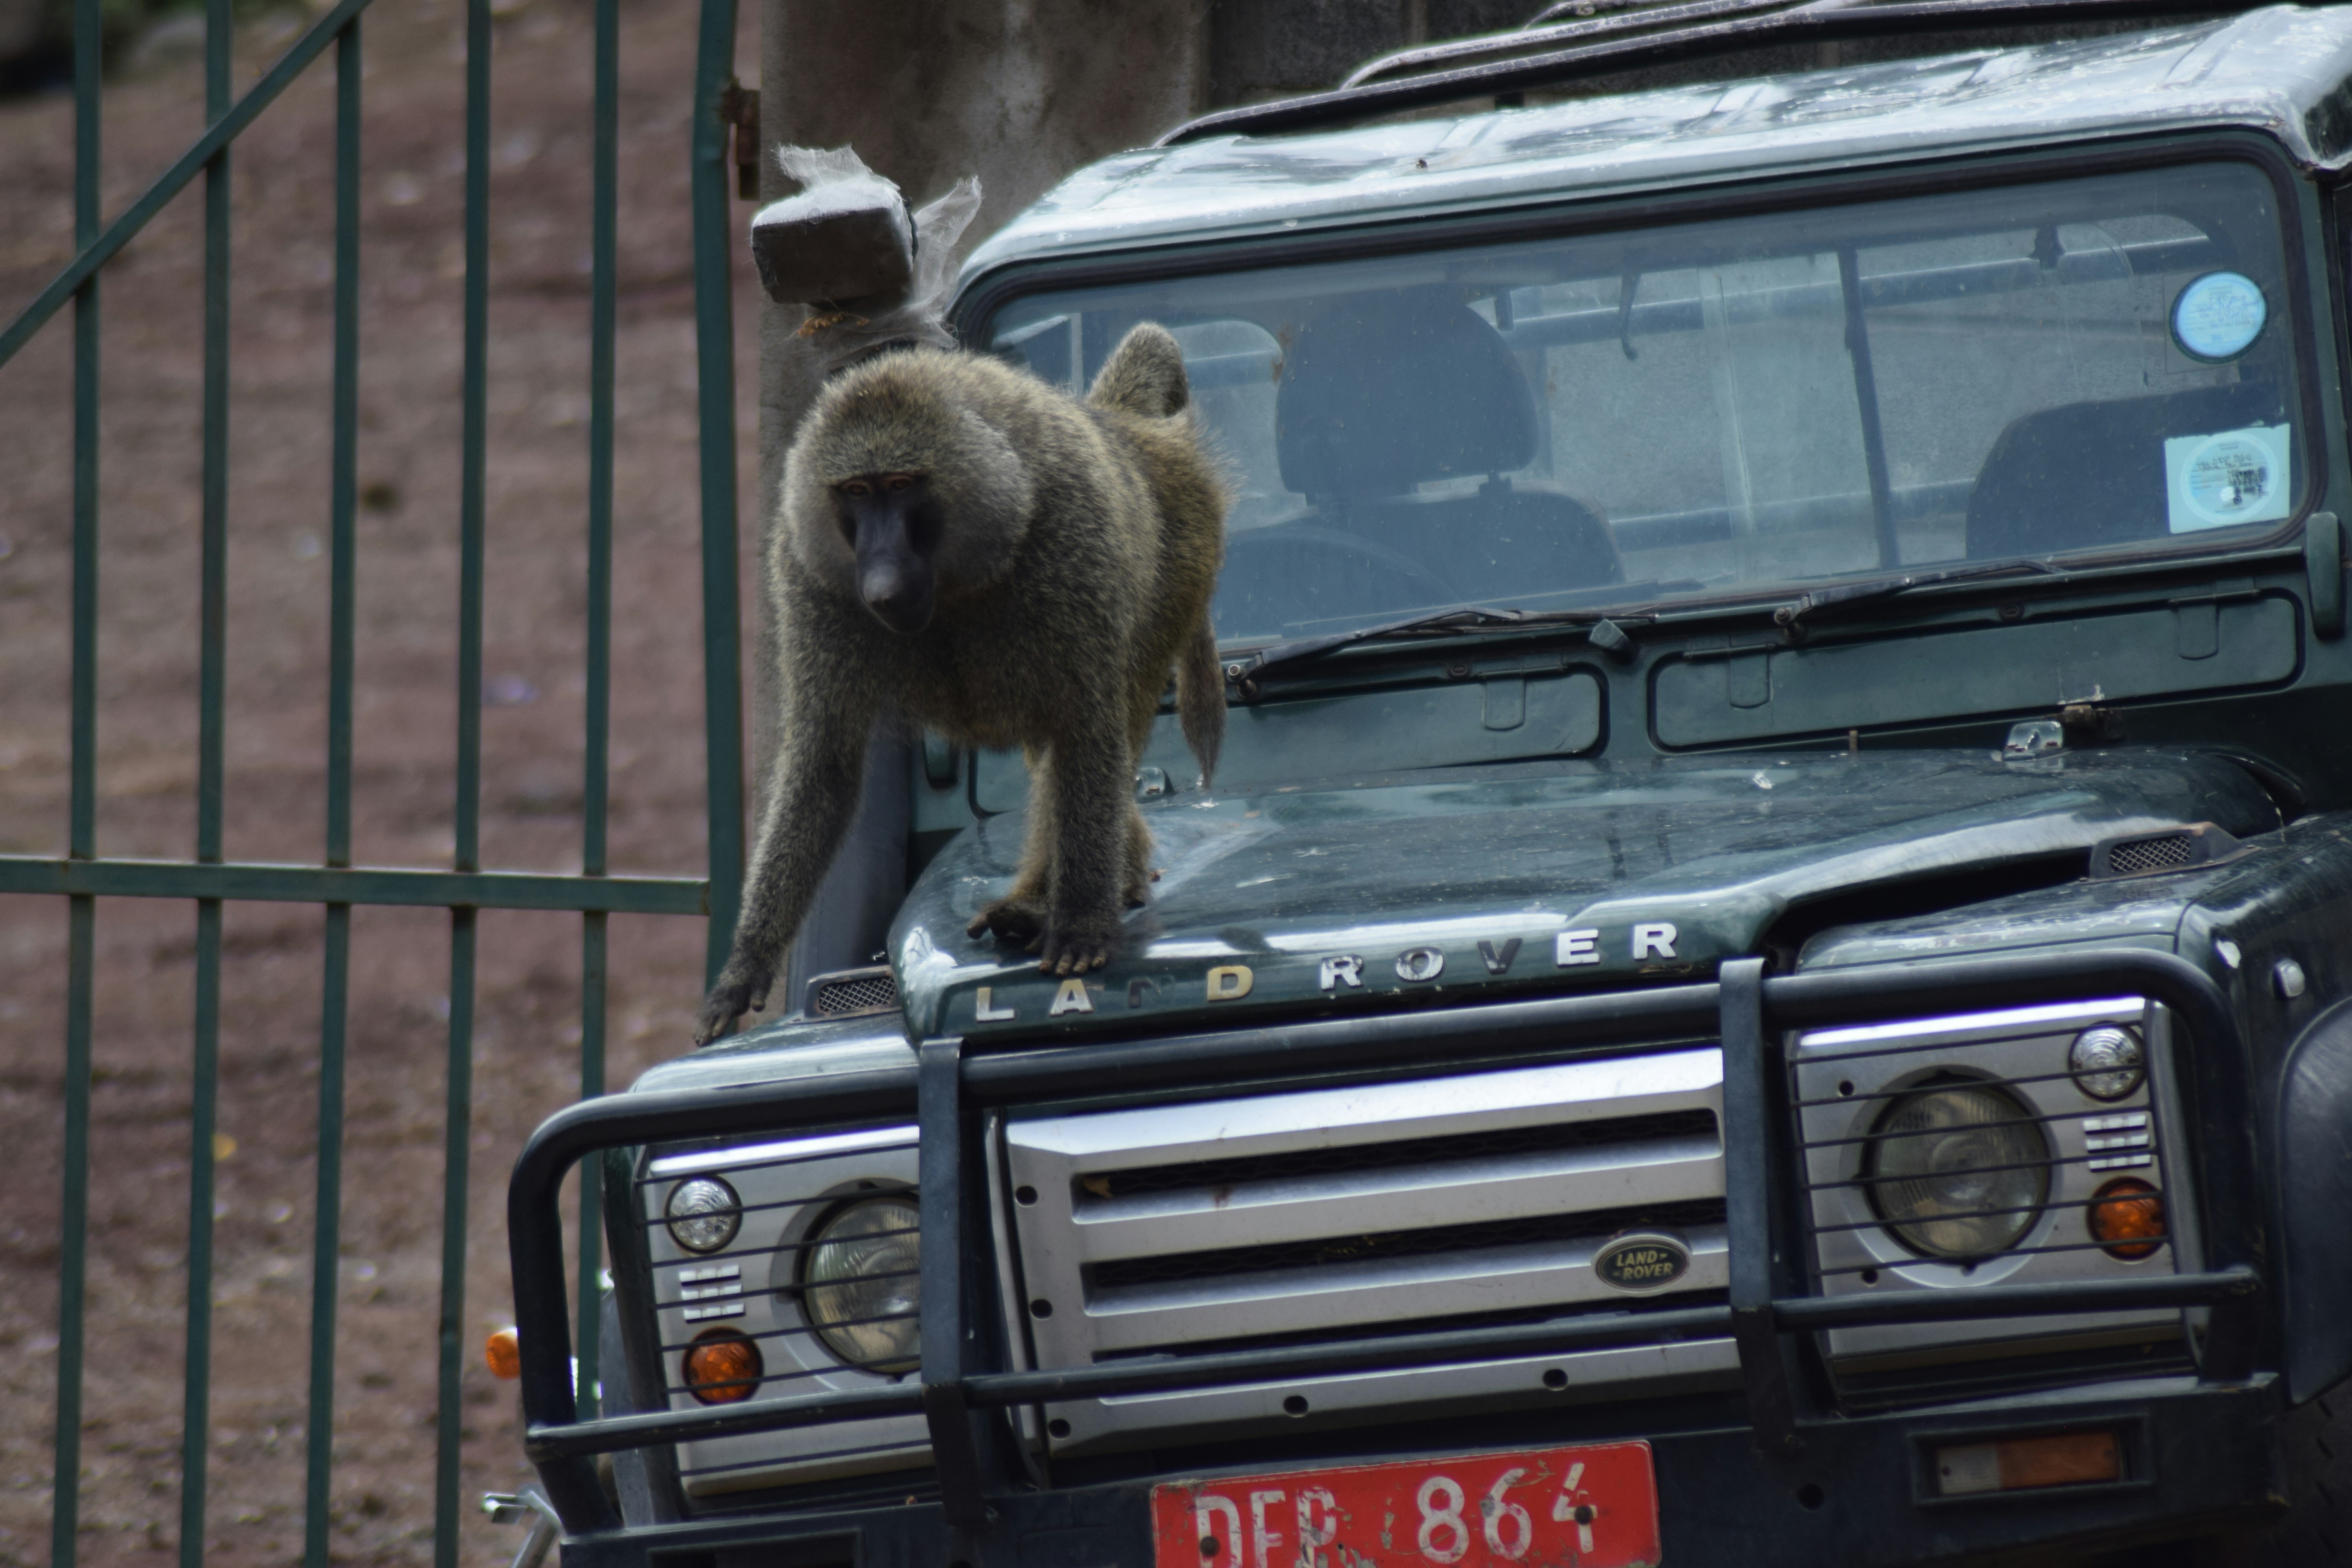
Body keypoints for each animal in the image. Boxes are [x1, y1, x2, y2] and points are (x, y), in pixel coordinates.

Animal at [694, 322, 1228, 1044]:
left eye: (901, 484)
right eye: (857, 492)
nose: (880, 582)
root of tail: (1128, 430)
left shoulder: (1075, 542)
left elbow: (1086, 726)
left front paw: (1082, 924)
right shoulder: (811, 574)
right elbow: (824, 764)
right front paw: (743, 970)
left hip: (1183, 562)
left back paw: (1073, 897)